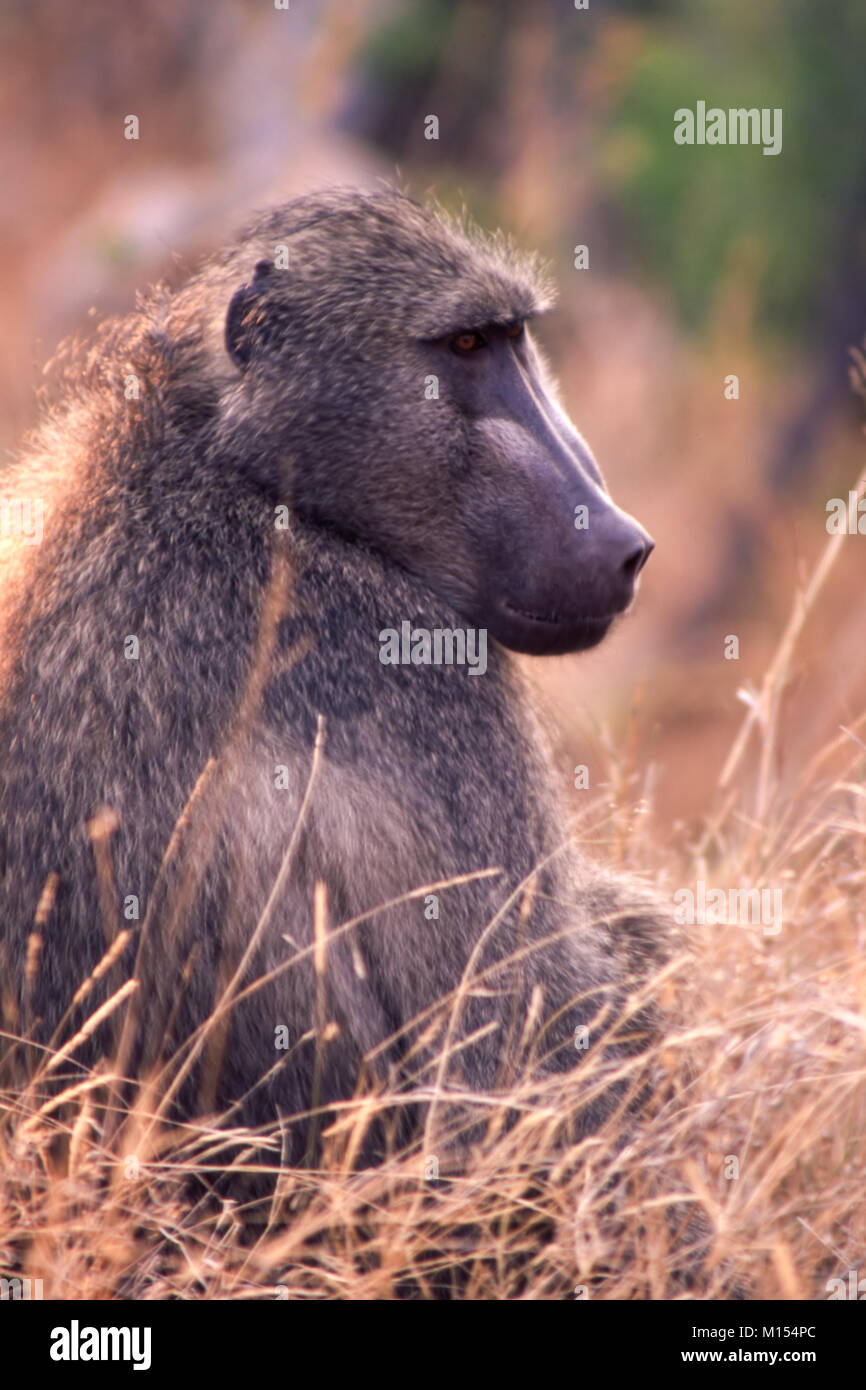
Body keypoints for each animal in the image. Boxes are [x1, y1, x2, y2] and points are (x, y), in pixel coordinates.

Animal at [0, 187, 667, 1171]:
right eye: (466, 346)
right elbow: (521, 1077)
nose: (624, 546)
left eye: (515, 341)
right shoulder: (412, 670)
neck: (235, 474)